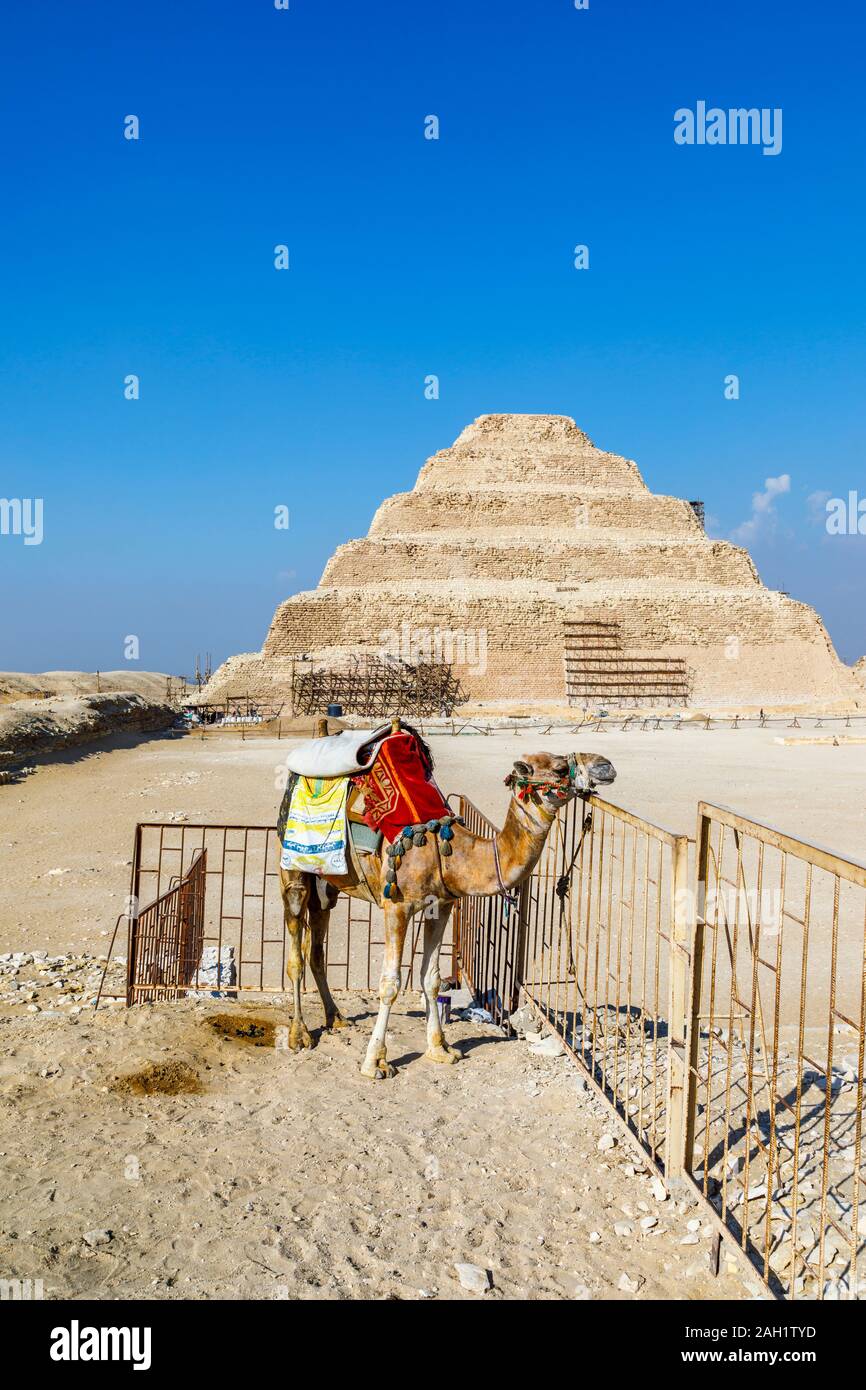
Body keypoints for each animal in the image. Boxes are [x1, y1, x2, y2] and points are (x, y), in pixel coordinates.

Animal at [278, 727, 616, 1079]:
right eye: (560, 768)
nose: (605, 765)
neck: (452, 855)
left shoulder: (441, 906)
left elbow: (431, 978)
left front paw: (440, 1049)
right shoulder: (396, 907)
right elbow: (390, 984)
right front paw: (375, 1063)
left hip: (328, 884)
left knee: (316, 947)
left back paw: (336, 1018)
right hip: (293, 872)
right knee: (296, 953)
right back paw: (299, 1035)